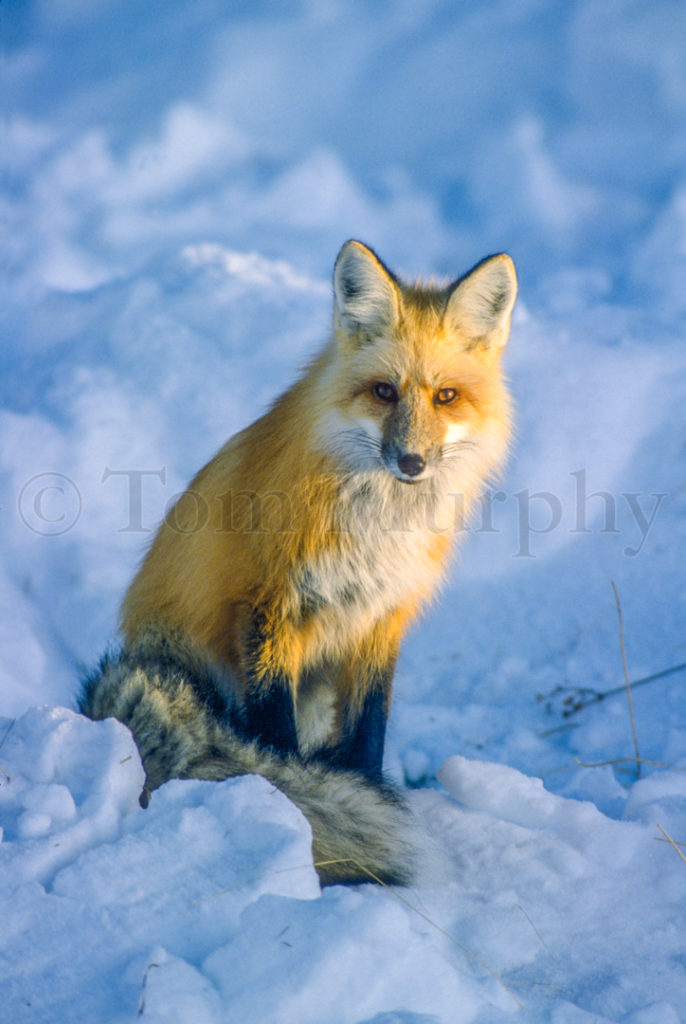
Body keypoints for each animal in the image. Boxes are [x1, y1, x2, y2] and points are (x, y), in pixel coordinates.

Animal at [81, 240, 516, 885]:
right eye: (384, 392)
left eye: (446, 397)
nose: (411, 463)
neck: (376, 528)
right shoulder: (269, 611)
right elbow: (276, 745)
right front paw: (291, 810)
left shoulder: (381, 618)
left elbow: (368, 734)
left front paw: (361, 793)